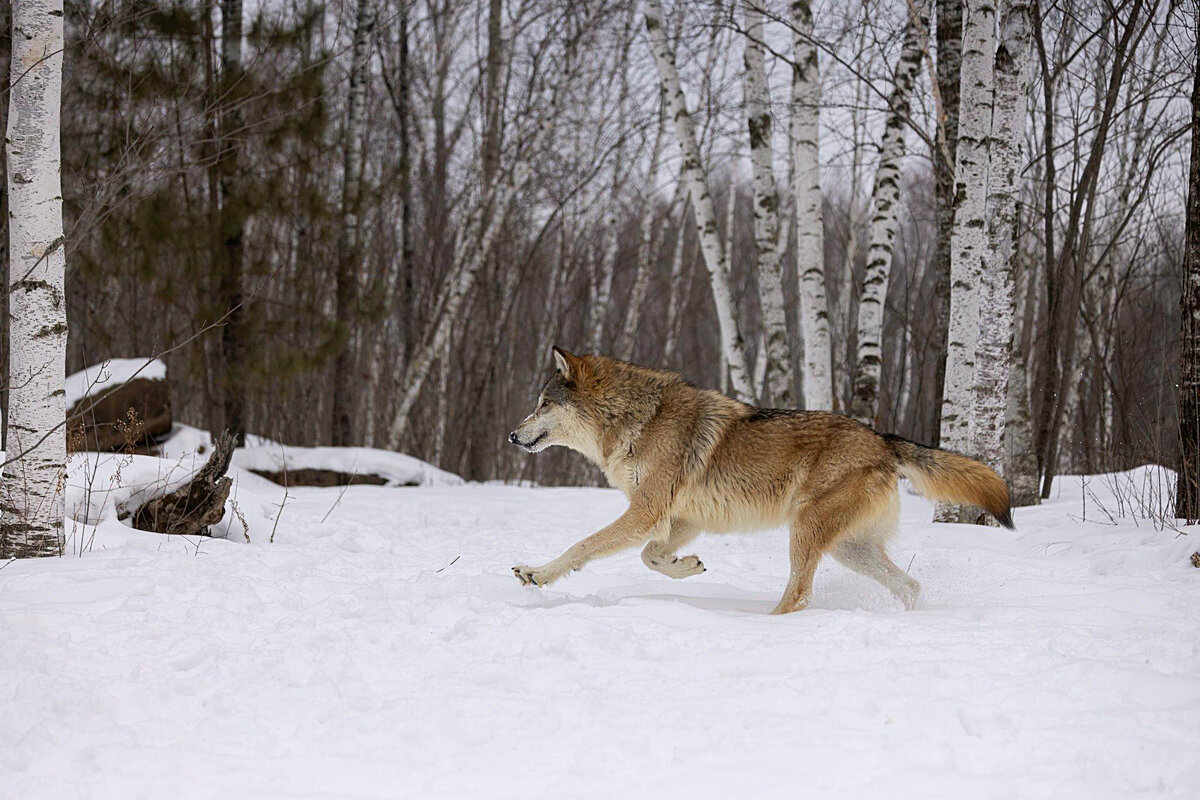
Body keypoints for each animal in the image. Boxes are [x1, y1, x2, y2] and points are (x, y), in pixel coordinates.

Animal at [506, 347, 1012, 618]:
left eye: (542, 404)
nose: (512, 435)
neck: (637, 419)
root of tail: (884, 440)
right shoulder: (682, 517)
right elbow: (651, 557)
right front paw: (688, 567)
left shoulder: (646, 511)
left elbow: (583, 546)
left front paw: (537, 573)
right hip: (850, 551)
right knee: (909, 586)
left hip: (805, 533)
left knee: (799, 595)